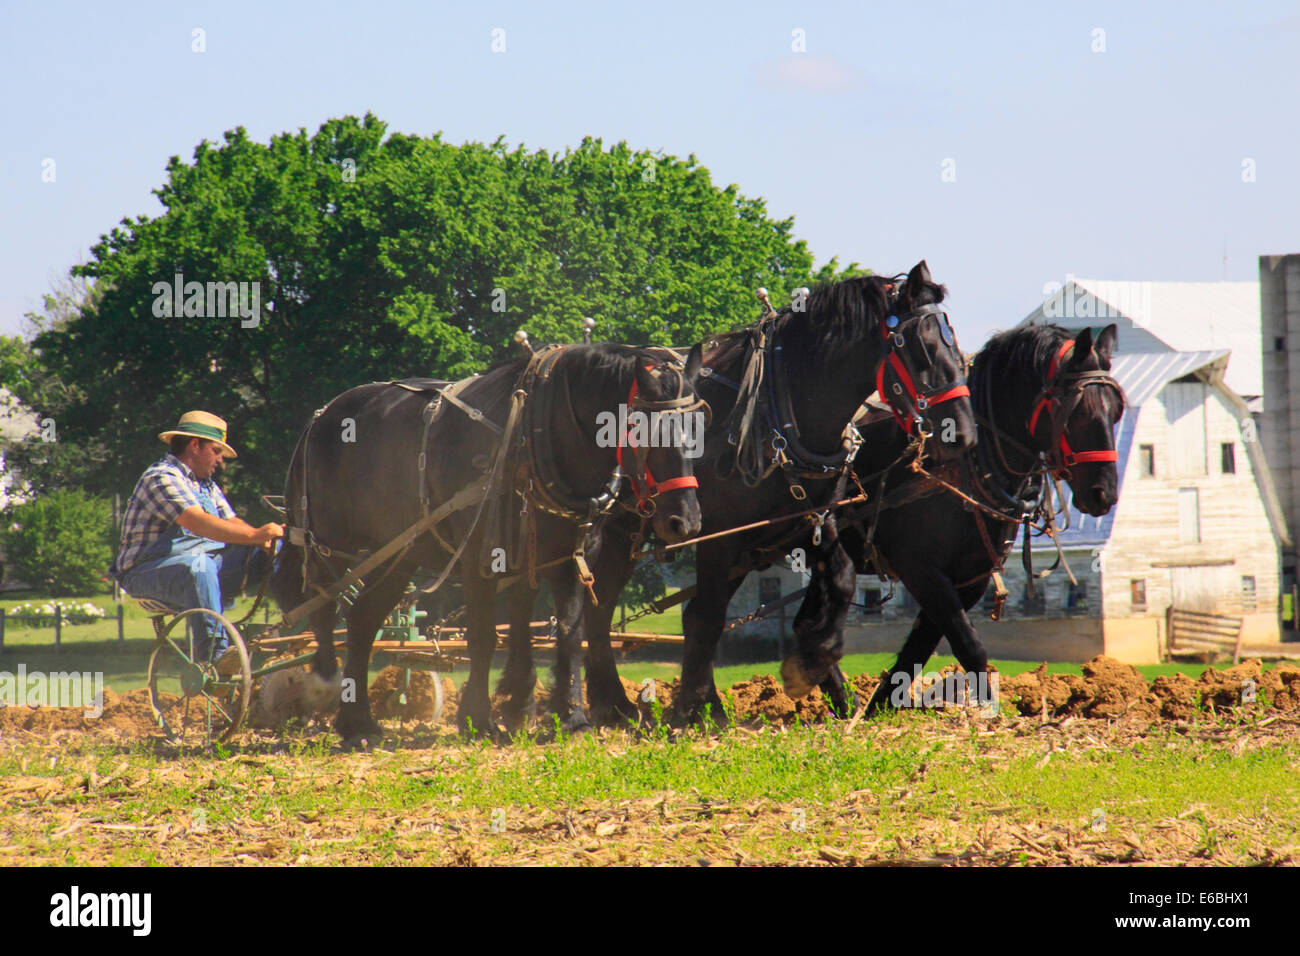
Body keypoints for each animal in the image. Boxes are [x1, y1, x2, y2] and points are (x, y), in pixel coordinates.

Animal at [270, 343, 706, 746]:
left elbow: (568, 632)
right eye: (648, 431)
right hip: (332, 545)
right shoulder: (480, 556)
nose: (684, 520)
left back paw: (358, 722)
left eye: (700, 427)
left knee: (362, 620)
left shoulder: (570, 554)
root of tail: (322, 415)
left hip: (397, 552)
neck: (537, 434)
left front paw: (571, 719)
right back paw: (328, 687)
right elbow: (484, 636)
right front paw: (479, 720)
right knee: (324, 611)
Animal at [502, 261, 979, 728]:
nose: (963, 432)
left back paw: (619, 705)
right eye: (922, 347)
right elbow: (708, 616)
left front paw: (812, 660)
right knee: (600, 613)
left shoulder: (804, 524)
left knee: (603, 612)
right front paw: (693, 708)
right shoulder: (717, 535)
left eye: (955, 343)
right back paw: (614, 703)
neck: (779, 411)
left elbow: (841, 579)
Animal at [784, 322, 1125, 717]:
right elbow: (967, 643)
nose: (1104, 493)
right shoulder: (919, 567)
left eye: (1116, 411)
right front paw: (992, 714)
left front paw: (876, 710)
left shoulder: (971, 575)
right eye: (1079, 413)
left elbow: (922, 644)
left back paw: (841, 701)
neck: (964, 464)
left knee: (806, 624)